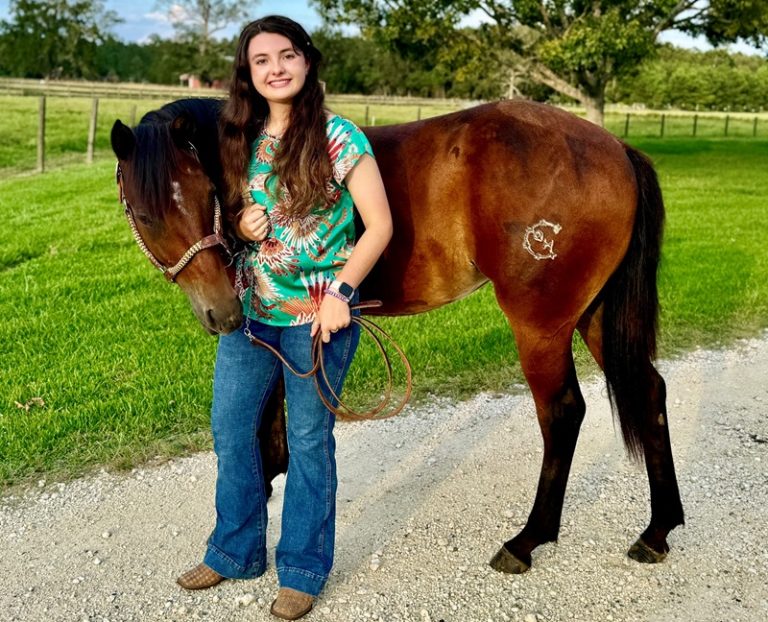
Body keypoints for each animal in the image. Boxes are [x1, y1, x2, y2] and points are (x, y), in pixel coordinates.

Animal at [111, 97, 684, 574]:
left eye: (208, 196)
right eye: (145, 214)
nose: (222, 315)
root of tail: (616, 148)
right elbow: (269, 395)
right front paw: (273, 471)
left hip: (541, 327)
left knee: (563, 413)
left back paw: (526, 541)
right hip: (594, 316)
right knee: (648, 391)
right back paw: (657, 531)